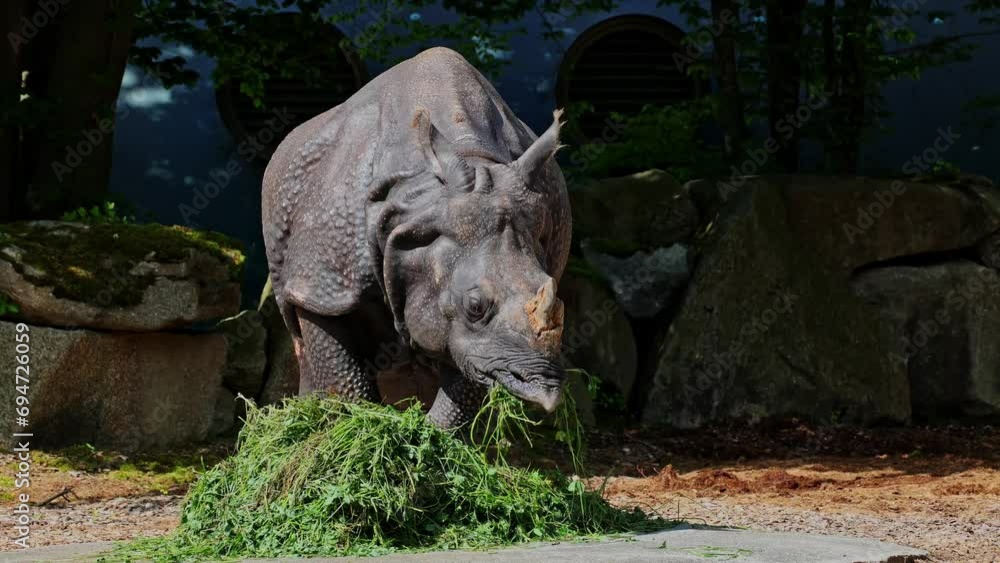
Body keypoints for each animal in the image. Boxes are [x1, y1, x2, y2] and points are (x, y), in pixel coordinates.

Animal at [262, 47, 572, 428]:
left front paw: (427, 436)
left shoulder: (477, 344)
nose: (545, 387)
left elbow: (462, 383)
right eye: (474, 306)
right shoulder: (324, 286)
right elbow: (343, 378)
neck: (420, 201)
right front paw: (354, 426)